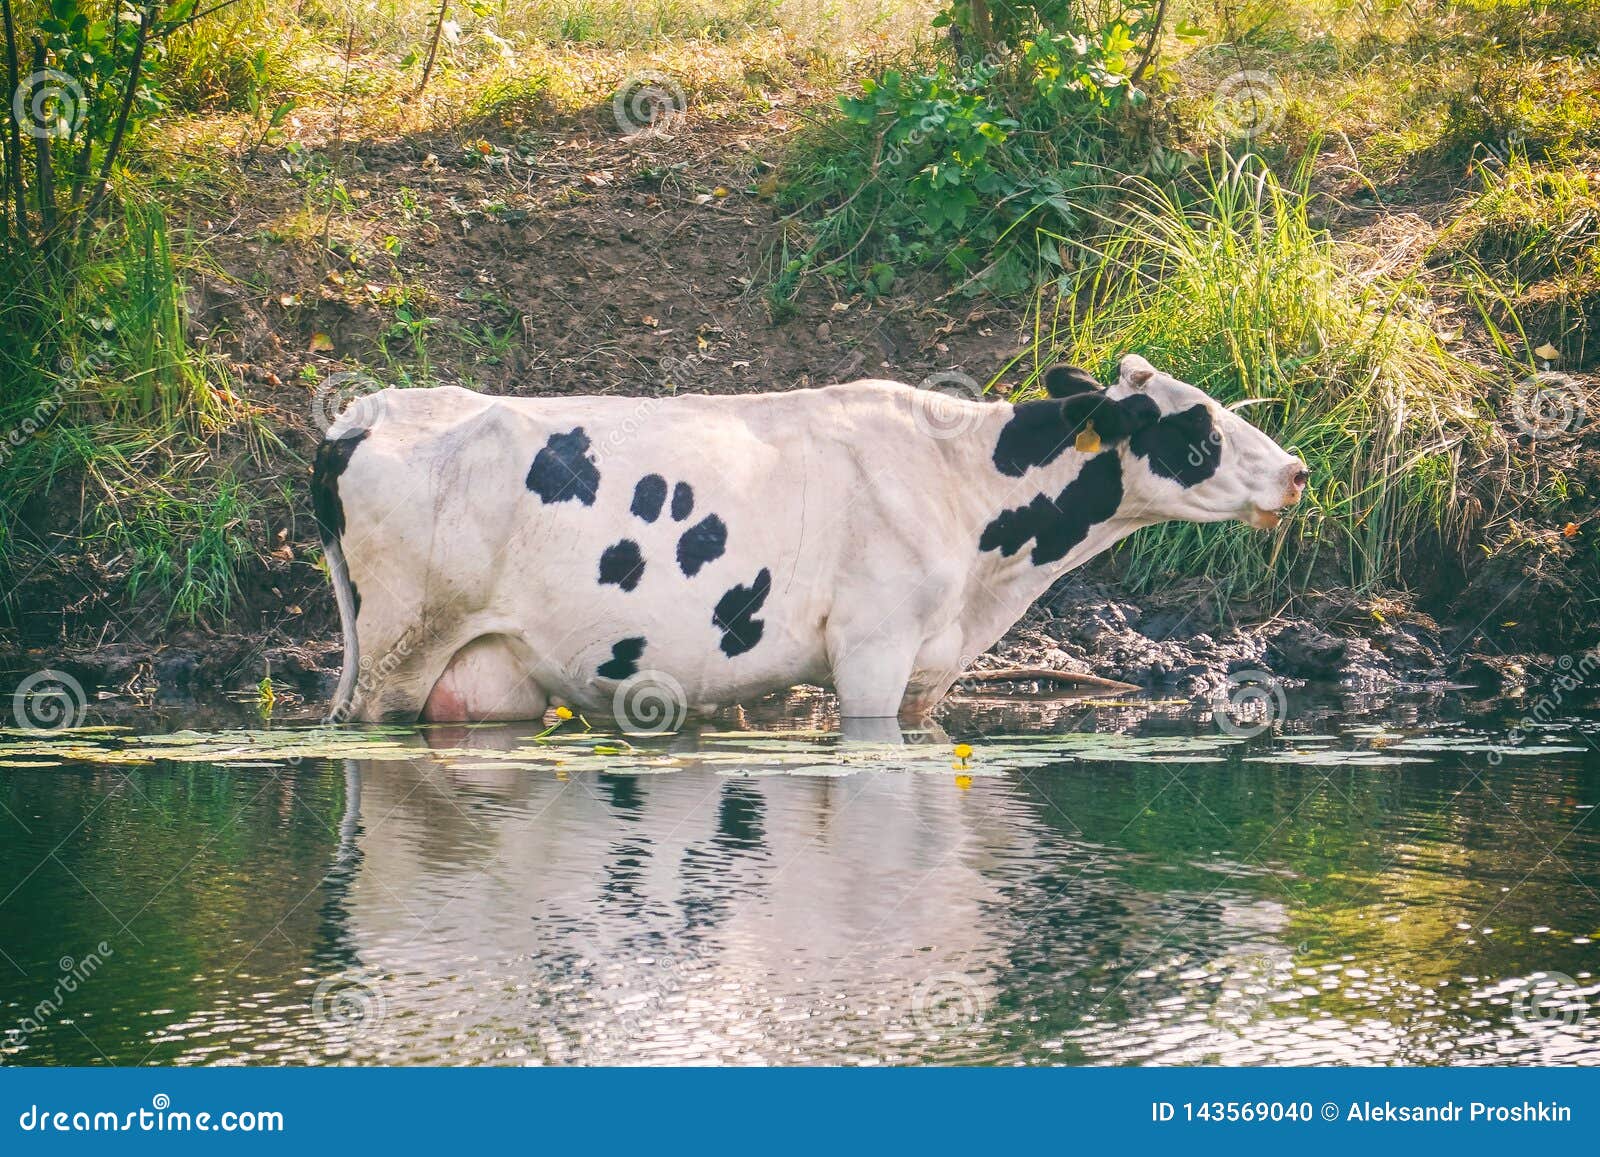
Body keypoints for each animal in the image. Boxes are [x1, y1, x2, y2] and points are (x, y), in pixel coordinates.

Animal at [312, 354, 1307, 728]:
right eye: (1199, 424)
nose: (1297, 470)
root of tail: (364, 411)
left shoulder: (929, 670)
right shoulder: (870, 650)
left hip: (486, 675)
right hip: (397, 651)